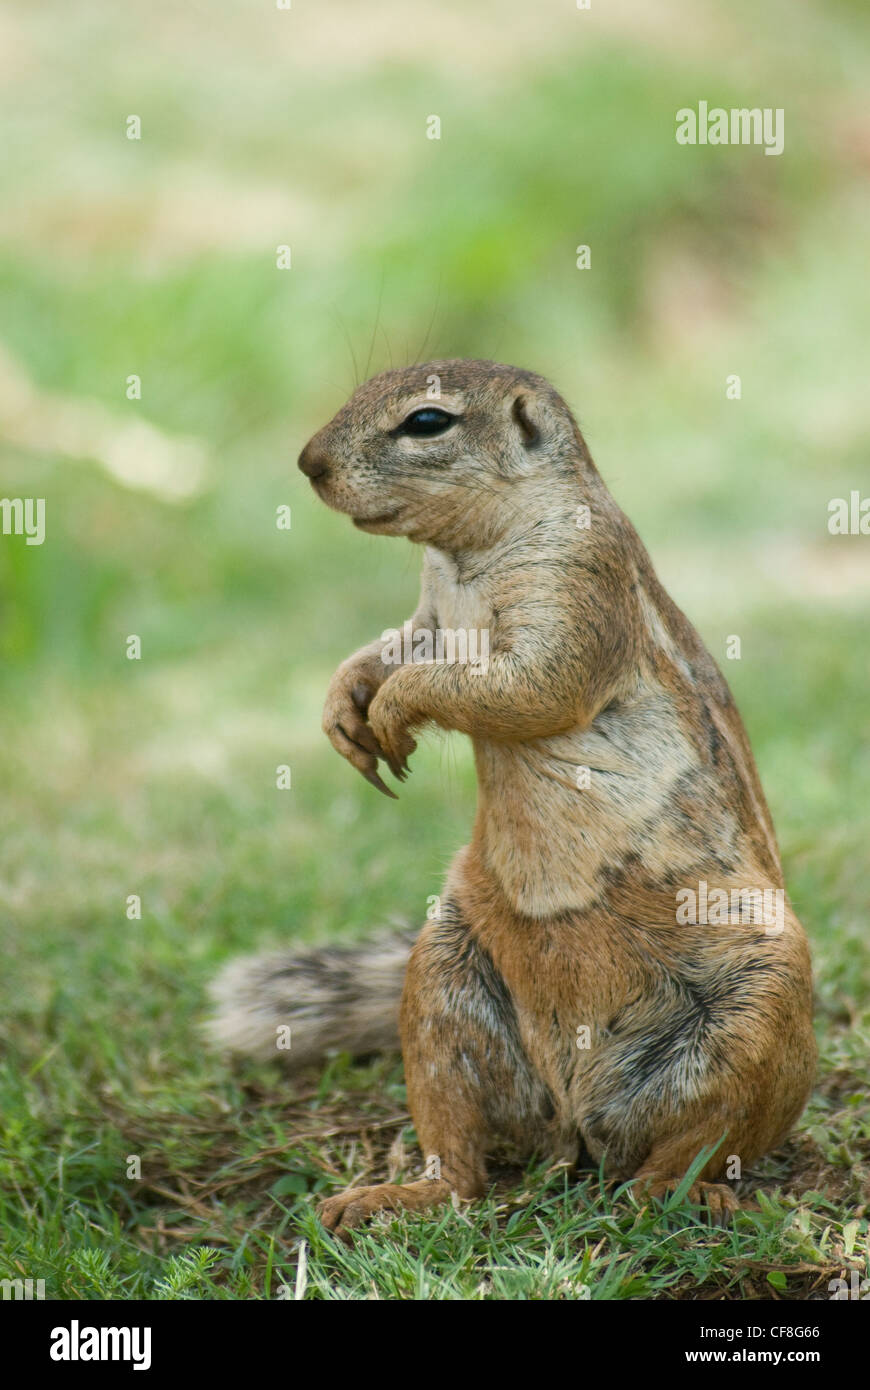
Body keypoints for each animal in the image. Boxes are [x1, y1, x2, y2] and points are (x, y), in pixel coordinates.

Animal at [209, 358, 816, 1237]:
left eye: (427, 422)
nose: (308, 463)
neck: (465, 556)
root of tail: (580, 1117)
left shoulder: (576, 584)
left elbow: (524, 685)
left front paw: (394, 708)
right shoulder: (431, 615)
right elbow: (393, 647)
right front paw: (345, 705)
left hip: (758, 1014)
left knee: (696, 1146)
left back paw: (681, 1191)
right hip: (445, 981)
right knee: (465, 1161)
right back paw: (395, 1195)